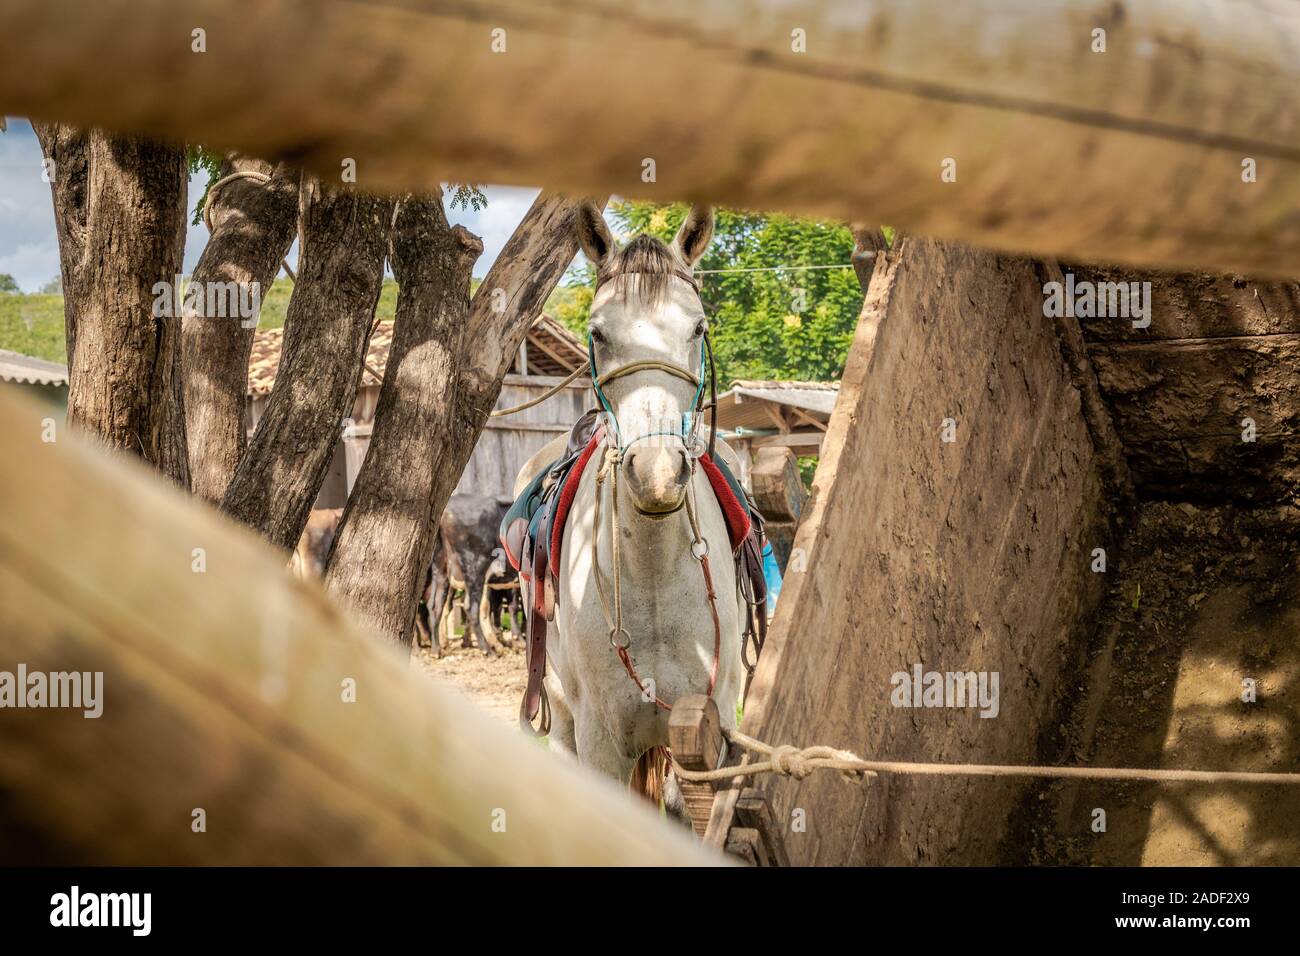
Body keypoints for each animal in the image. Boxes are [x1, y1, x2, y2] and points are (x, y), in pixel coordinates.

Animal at [521, 201, 745, 801]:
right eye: (597, 334)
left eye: (698, 327)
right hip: (564, 719)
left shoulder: (711, 733)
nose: (657, 474)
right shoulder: (602, 743)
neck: (653, 573)